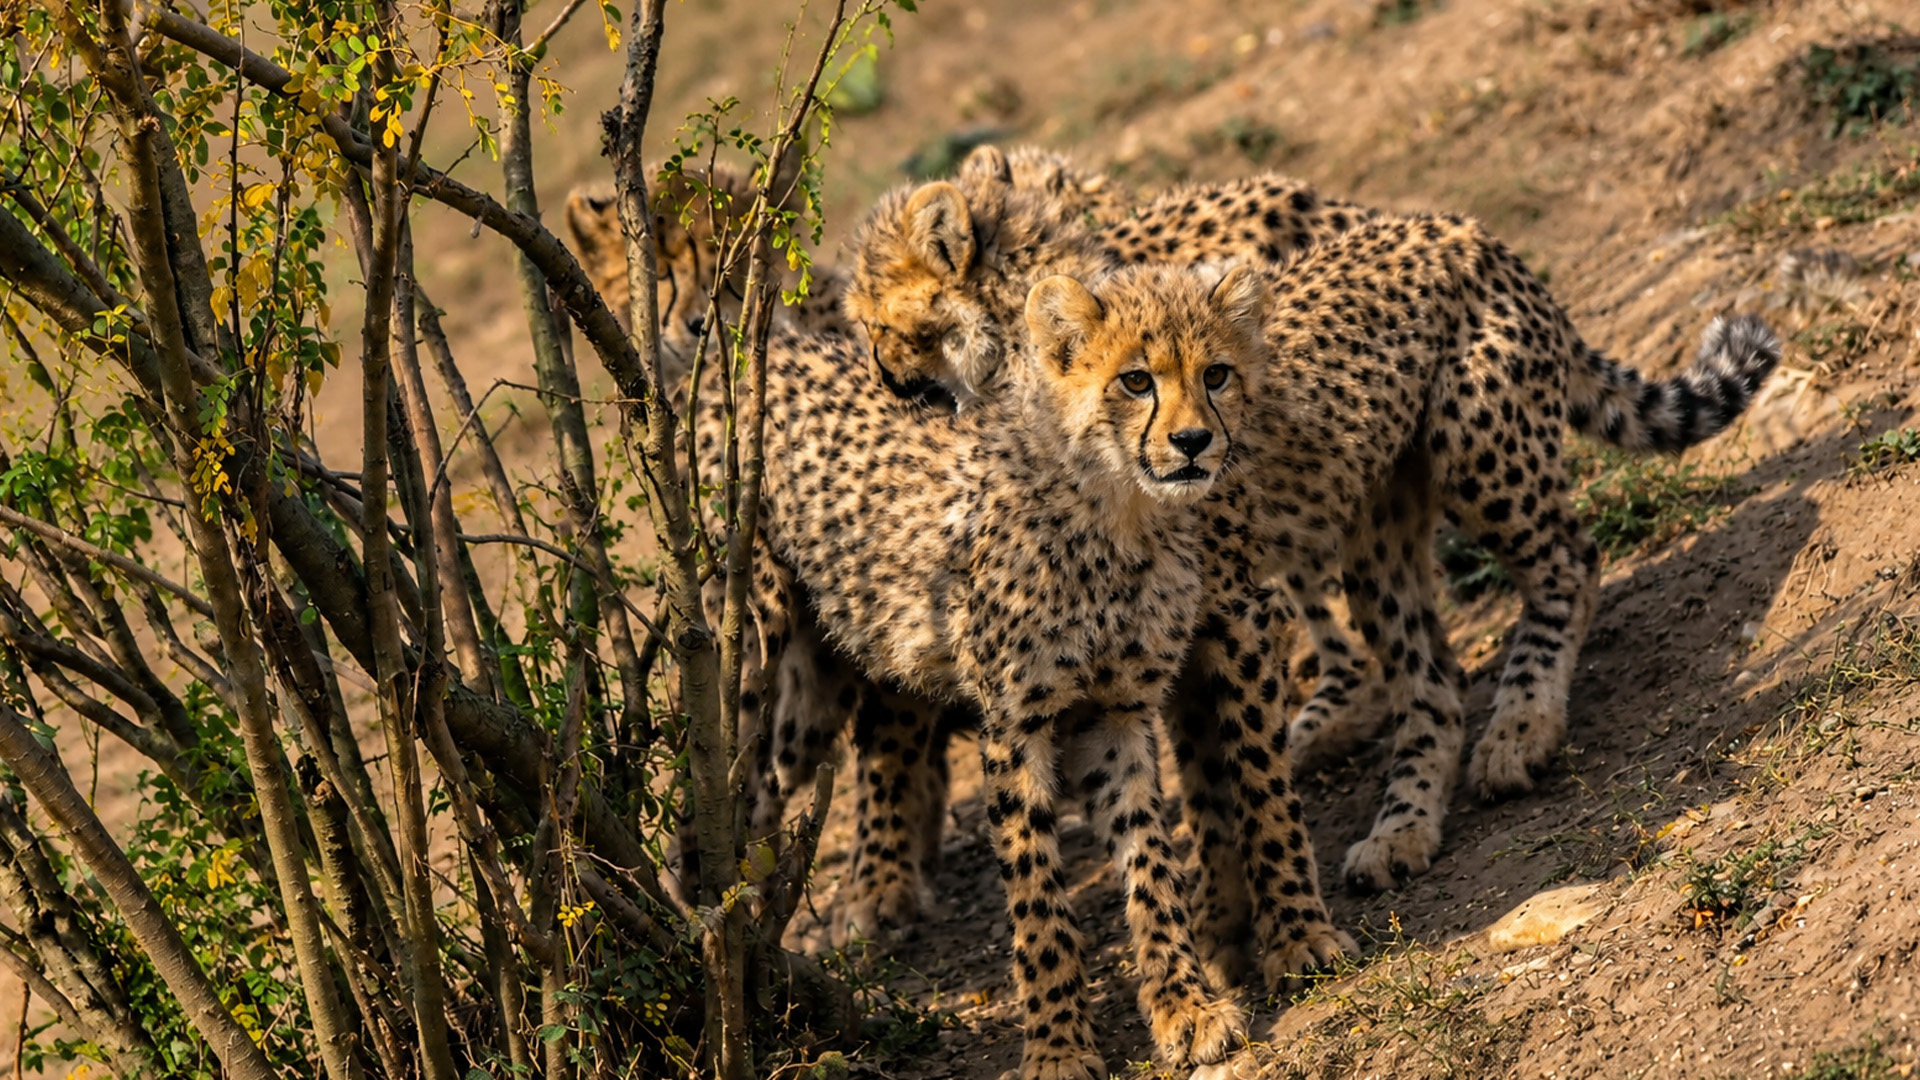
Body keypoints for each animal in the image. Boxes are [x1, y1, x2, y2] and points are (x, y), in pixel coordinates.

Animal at [686, 262, 1349, 1078]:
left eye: (1216, 374)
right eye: (1136, 380)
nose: (1193, 441)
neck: (1119, 512)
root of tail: (766, 347)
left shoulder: (1119, 712)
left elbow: (1154, 860)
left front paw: (1185, 1006)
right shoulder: (1015, 724)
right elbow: (1038, 896)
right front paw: (1060, 1047)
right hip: (747, 635)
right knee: (731, 770)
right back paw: (734, 925)